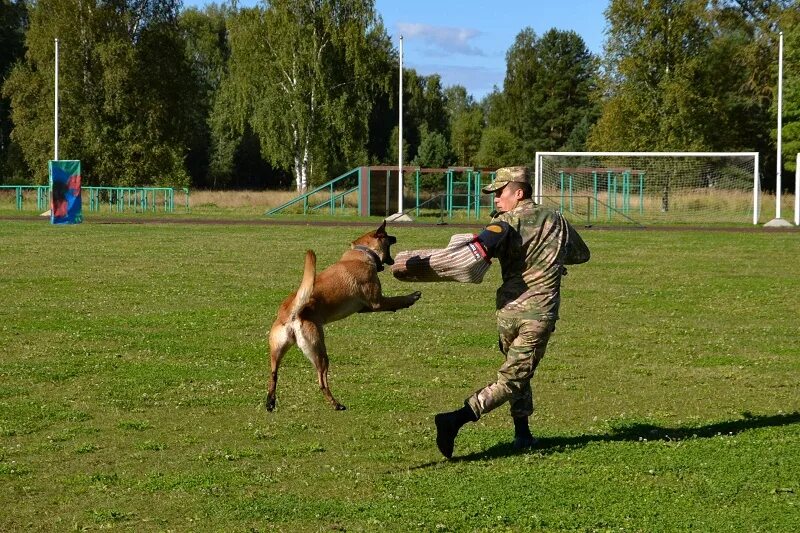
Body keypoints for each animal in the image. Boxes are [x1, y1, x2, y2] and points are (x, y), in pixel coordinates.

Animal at [268, 220, 422, 412]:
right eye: (387, 235)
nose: (395, 237)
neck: (362, 253)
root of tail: (291, 311)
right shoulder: (377, 302)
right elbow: (396, 300)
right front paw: (412, 297)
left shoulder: (365, 308)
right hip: (319, 351)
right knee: (322, 382)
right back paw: (336, 404)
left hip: (277, 350)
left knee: (273, 375)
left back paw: (270, 402)